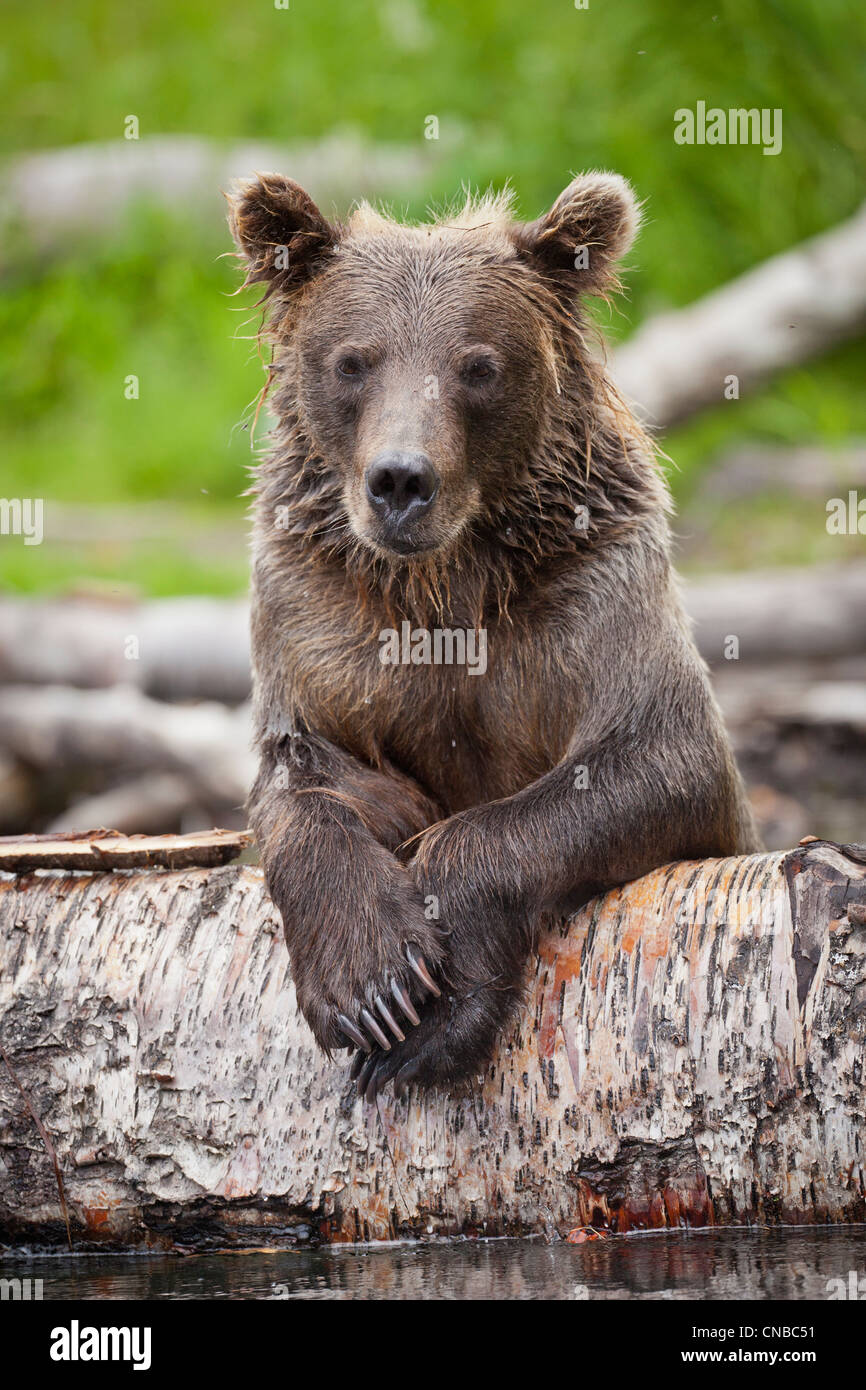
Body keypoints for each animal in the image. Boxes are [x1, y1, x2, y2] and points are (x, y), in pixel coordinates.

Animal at [228, 170, 760, 1100]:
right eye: (353, 360)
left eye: (478, 366)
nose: (401, 481)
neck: (449, 586)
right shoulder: (320, 615)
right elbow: (304, 779)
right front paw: (369, 981)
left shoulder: (591, 595)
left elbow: (652, 760)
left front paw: (429, 1013)